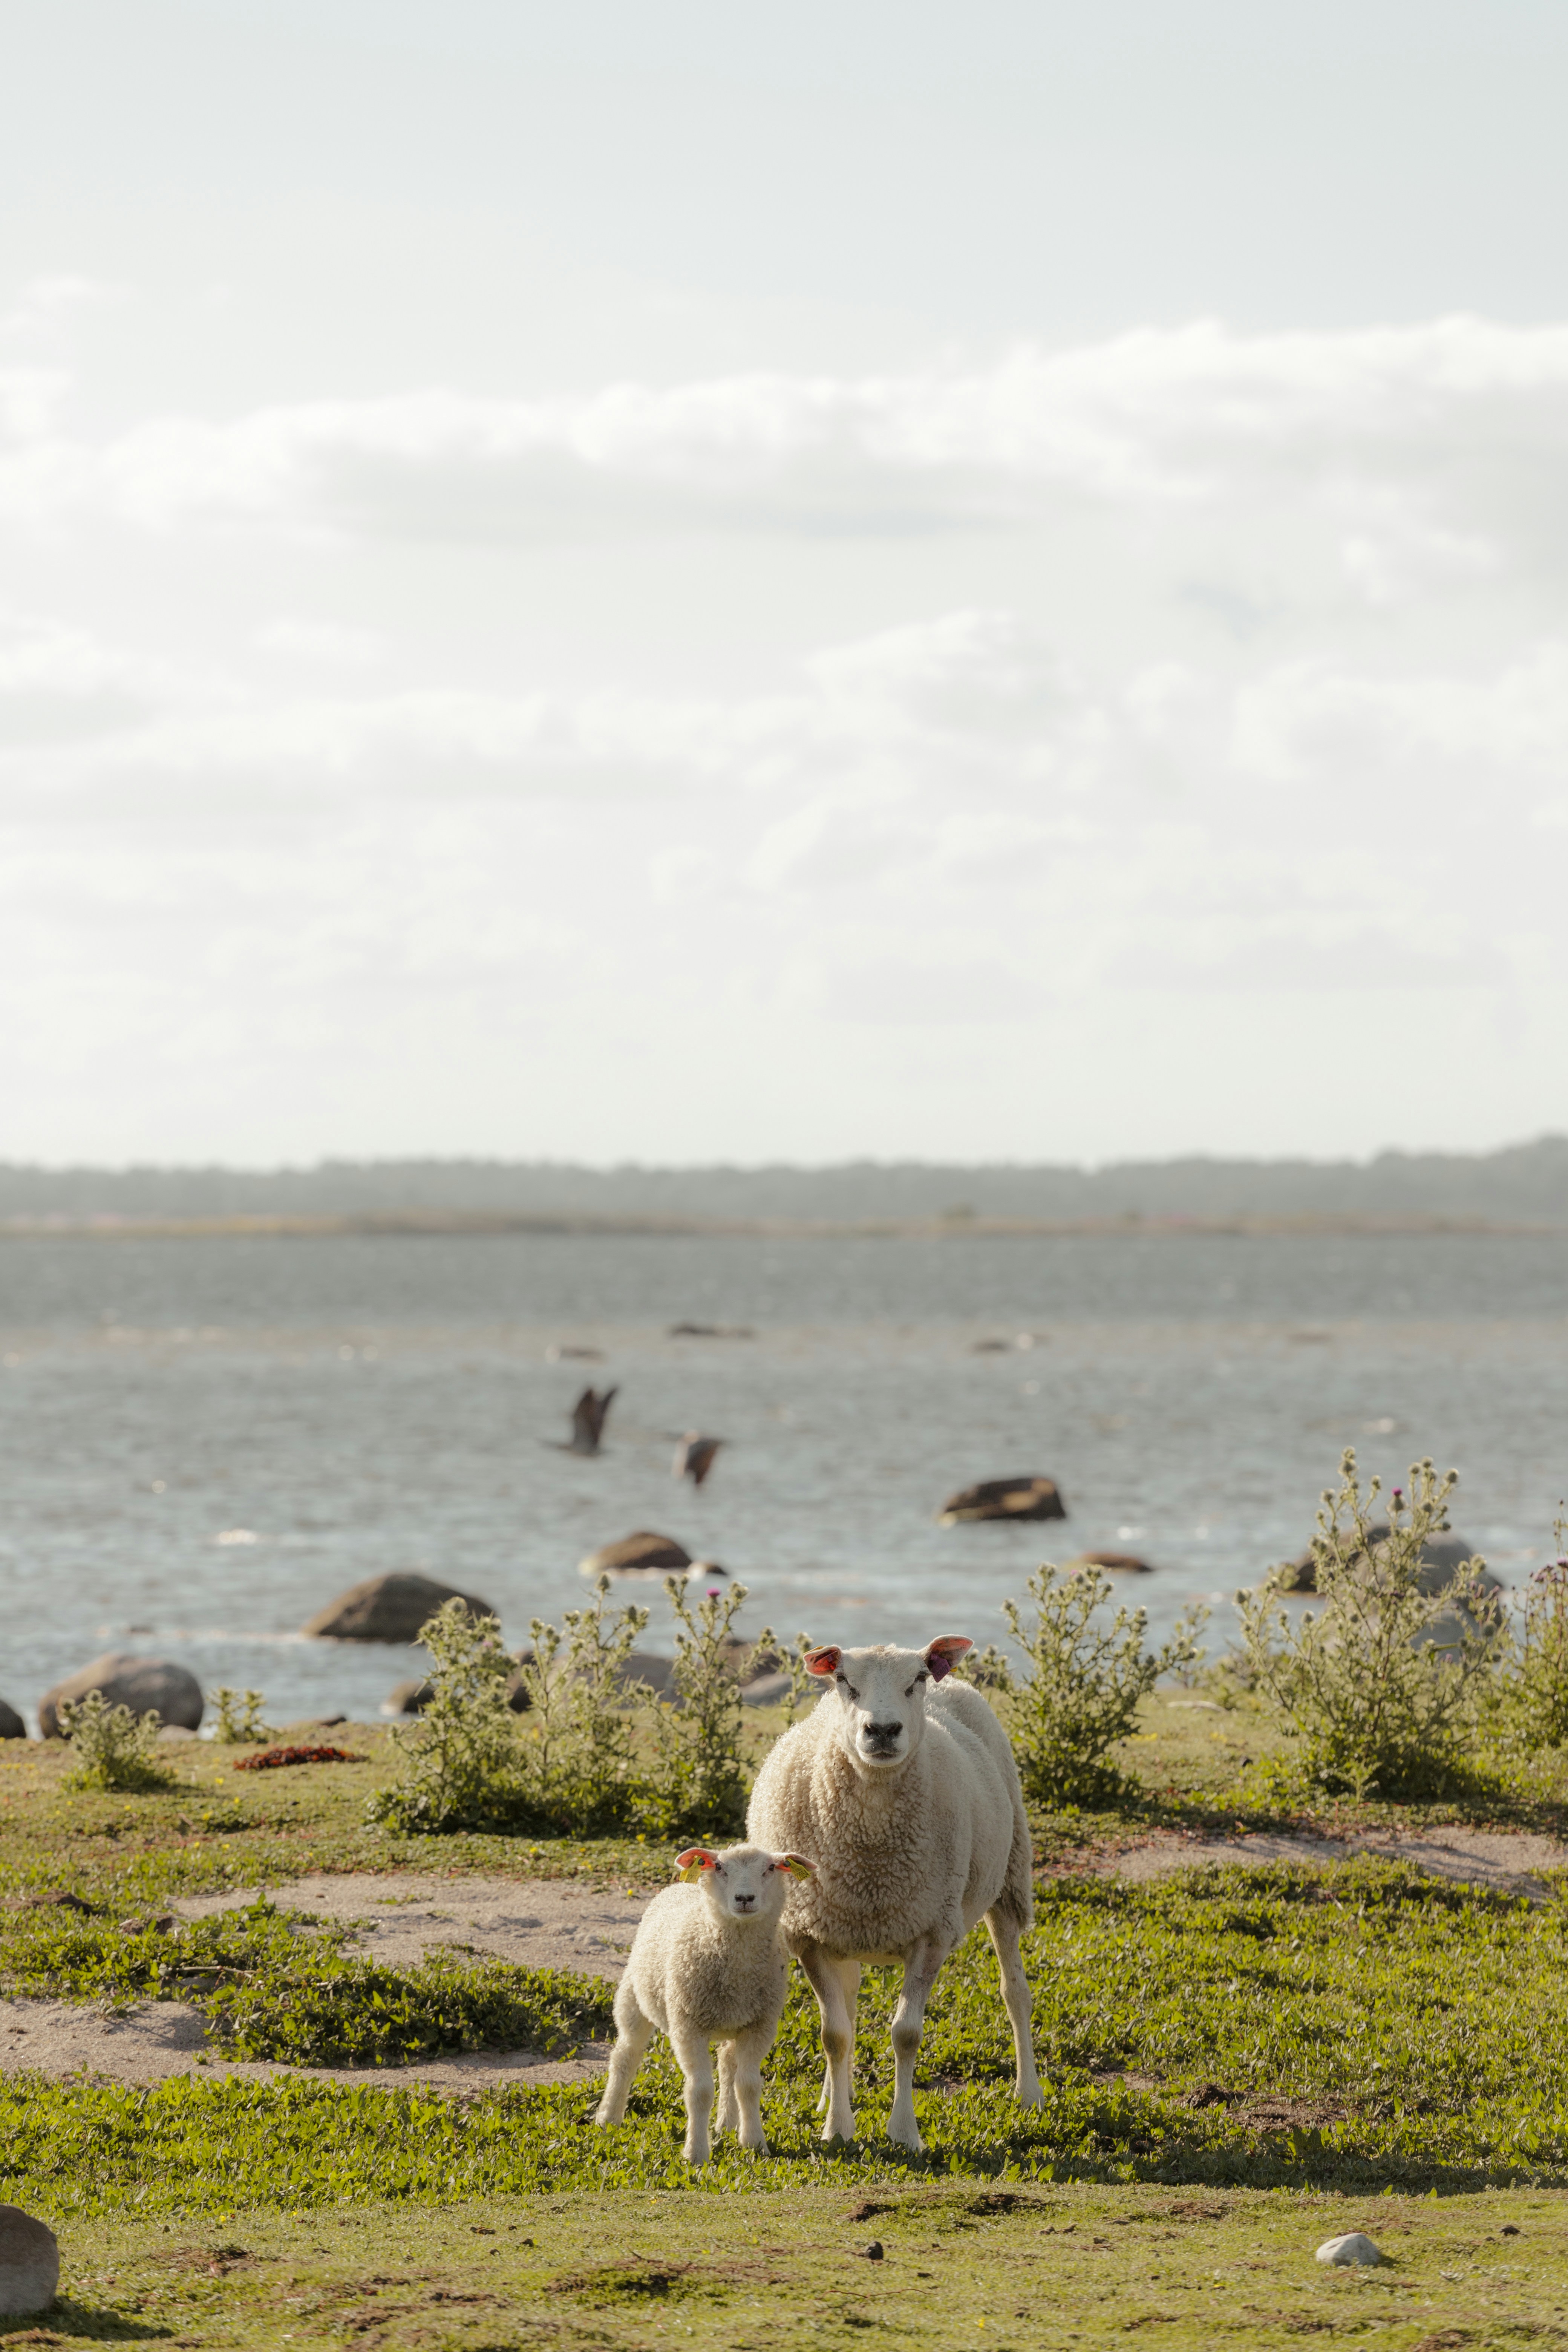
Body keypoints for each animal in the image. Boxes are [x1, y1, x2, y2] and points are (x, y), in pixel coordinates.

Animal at [594, 1841, 815, 2163]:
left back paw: (728, 2124)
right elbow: (699, 2092)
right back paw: (609, 2117)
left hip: (732, 2021)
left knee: (727, 2064)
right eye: (720, 1867)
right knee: (625, 2056)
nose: (744, 1898)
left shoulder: (760, 2025)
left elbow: (748, 2085)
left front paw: (754, 2144)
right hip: (634, 1997)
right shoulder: (688, 2026)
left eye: (771, 1868)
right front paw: (696, 2153)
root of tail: (678, 1886)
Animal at [746, 1634, 1041, 2151]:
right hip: (843, 1927)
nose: (882, 1730)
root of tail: (956, 1681)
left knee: (1015, 1992)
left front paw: (903, 2132)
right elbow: (834, 2034)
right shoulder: (809, 1934)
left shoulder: (933, 1931)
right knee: (848, 2007)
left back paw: (1028, 2094)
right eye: (843, 1680)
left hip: (1008, 1878)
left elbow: (906, 2034)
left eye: (917, 1679)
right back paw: (833, 2096)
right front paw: (837, 2128)